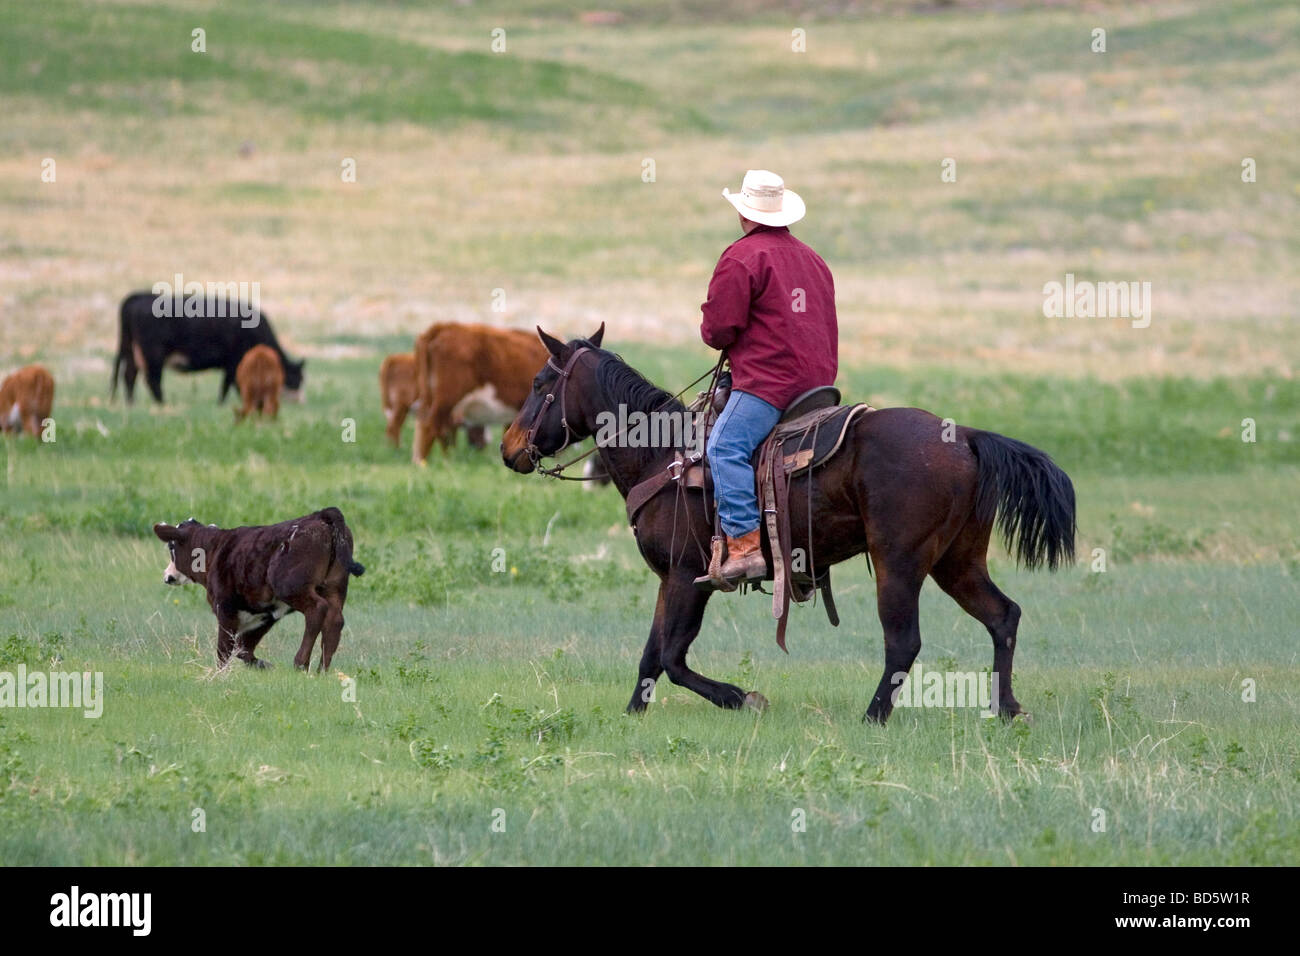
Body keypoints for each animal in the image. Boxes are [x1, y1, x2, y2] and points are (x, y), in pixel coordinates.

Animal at [111, 290, 305, 404]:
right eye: (296, 380)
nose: (301, 401)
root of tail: (140, 295)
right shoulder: (234, 362)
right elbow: (231, 385)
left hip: (132, 350)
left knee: (129, 375)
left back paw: (131, 404)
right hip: (154, 354)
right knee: (152, 380)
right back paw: (162, 404)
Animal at [153, 508, 364, 671]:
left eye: (171, 547)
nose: (167, 576)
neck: (215, 549)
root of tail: (320, 515)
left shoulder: (226, 608)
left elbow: (224, 650)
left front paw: (219, 676)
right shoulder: (267, 613)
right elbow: (243, 648)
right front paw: (264, 665)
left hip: (291, 587)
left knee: (317, 610)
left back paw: (301, 663)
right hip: (335, 587)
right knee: (335, 620)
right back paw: (323, 670)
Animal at [411, 322, 547, 465]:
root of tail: (442, 327)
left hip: (429, 395)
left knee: (426, 423)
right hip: (447, 398)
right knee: (433, 425)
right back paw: (433, 461)